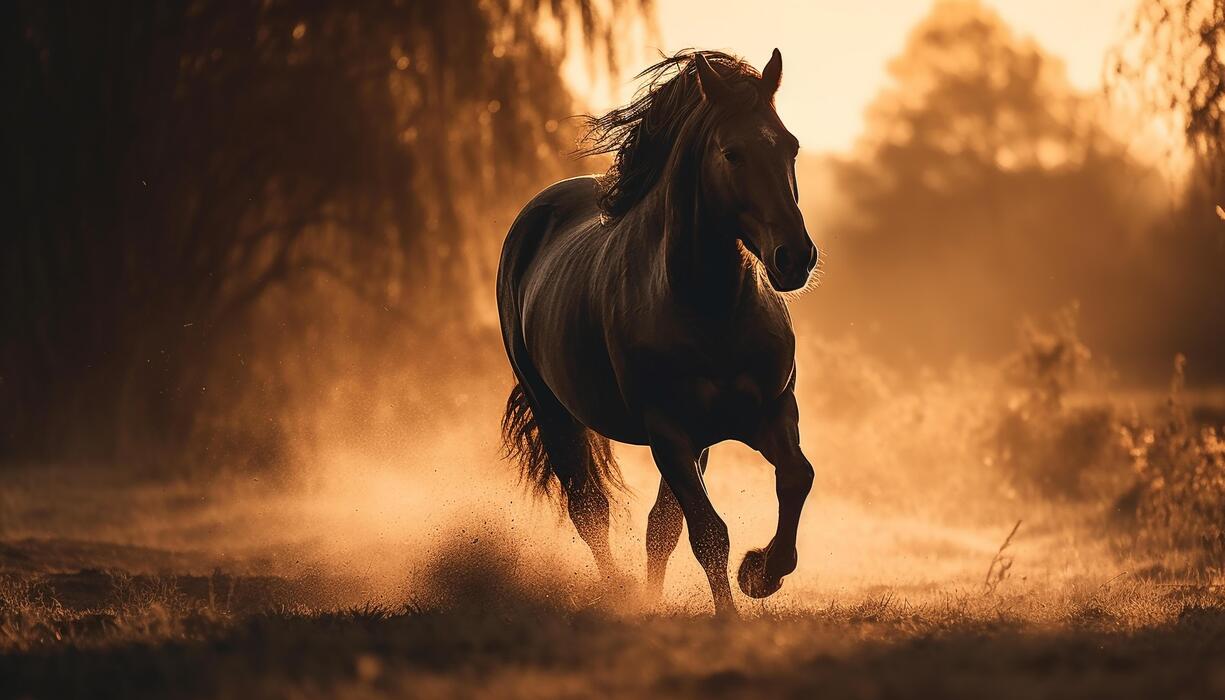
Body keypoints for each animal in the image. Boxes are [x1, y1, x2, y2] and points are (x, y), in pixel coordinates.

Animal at [497, 49, 818, 616]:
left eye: (791, 145)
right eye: (732, 153)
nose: (795, 258)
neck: (710, 309)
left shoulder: (769, 413)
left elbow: (796, 478)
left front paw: (760, 573)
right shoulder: (667, 430)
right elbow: (708, 532)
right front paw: (733, 610)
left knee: (657, 527)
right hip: (554, 412)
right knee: (591, 511)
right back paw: (620, 595)